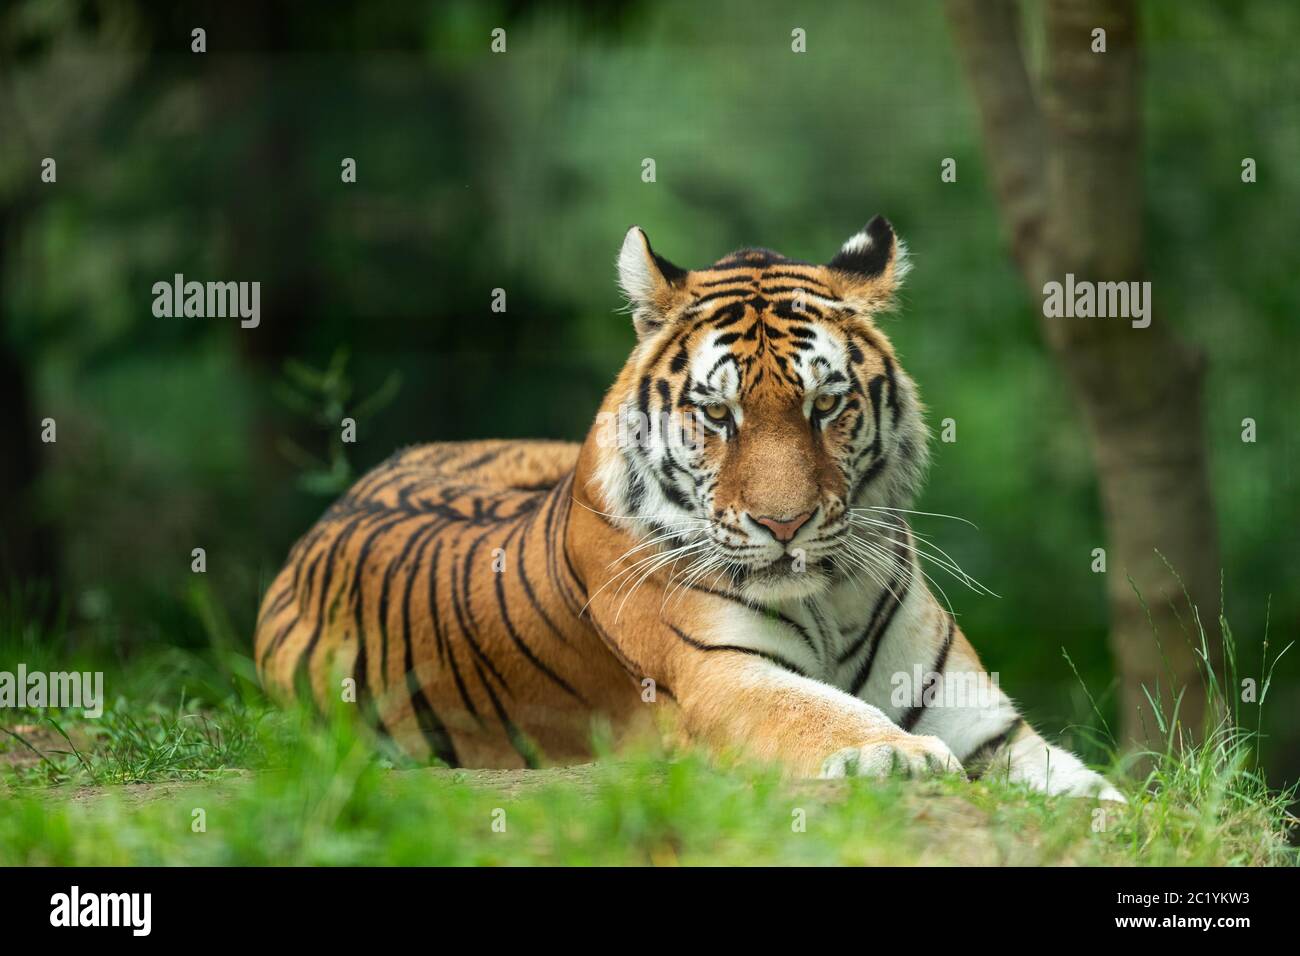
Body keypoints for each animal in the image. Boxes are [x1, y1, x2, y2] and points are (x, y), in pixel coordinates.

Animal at [254, 215, 1124, 800]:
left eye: (826, 404)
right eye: (717, 414)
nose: (784, 525)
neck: (827, 602)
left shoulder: (985, 723)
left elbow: (1097, 795)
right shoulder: (721, 678)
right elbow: (820, 713)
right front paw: (899, 756)